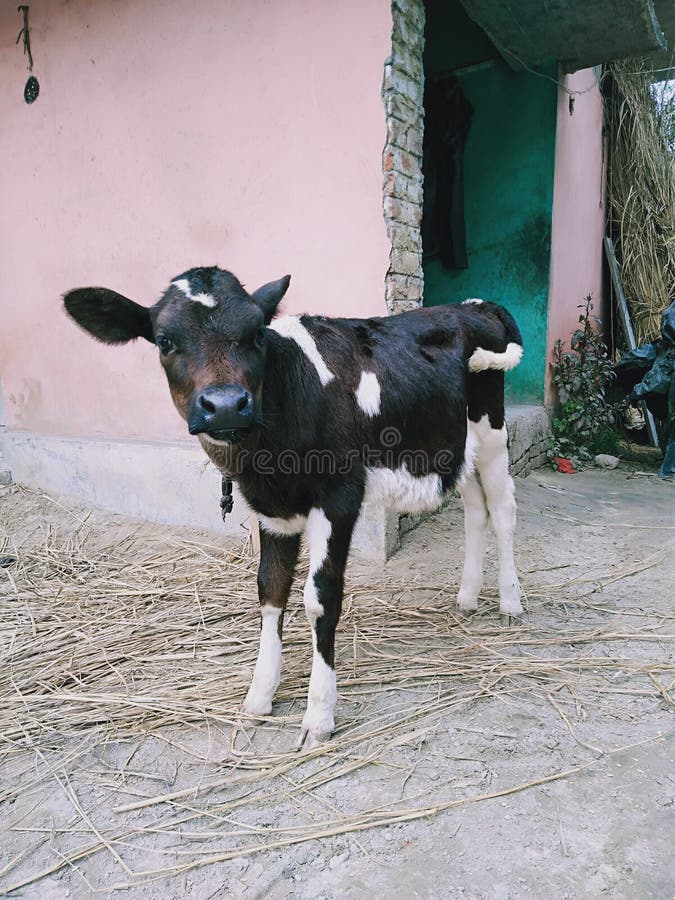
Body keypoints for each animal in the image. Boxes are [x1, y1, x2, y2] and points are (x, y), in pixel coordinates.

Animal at [63, 267, 524, 749]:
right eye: (164, 340)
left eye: (255, 334)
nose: (225, 406)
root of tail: (474, 305)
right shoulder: (272, 511)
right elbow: (270, 590)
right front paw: (260, 694)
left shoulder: (339, 496)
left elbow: (320, 598)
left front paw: (319, 714)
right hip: (455, 445)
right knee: (475, 509)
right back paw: (468, 596)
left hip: (491, 430)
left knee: (503, 509)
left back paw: (510, 602)